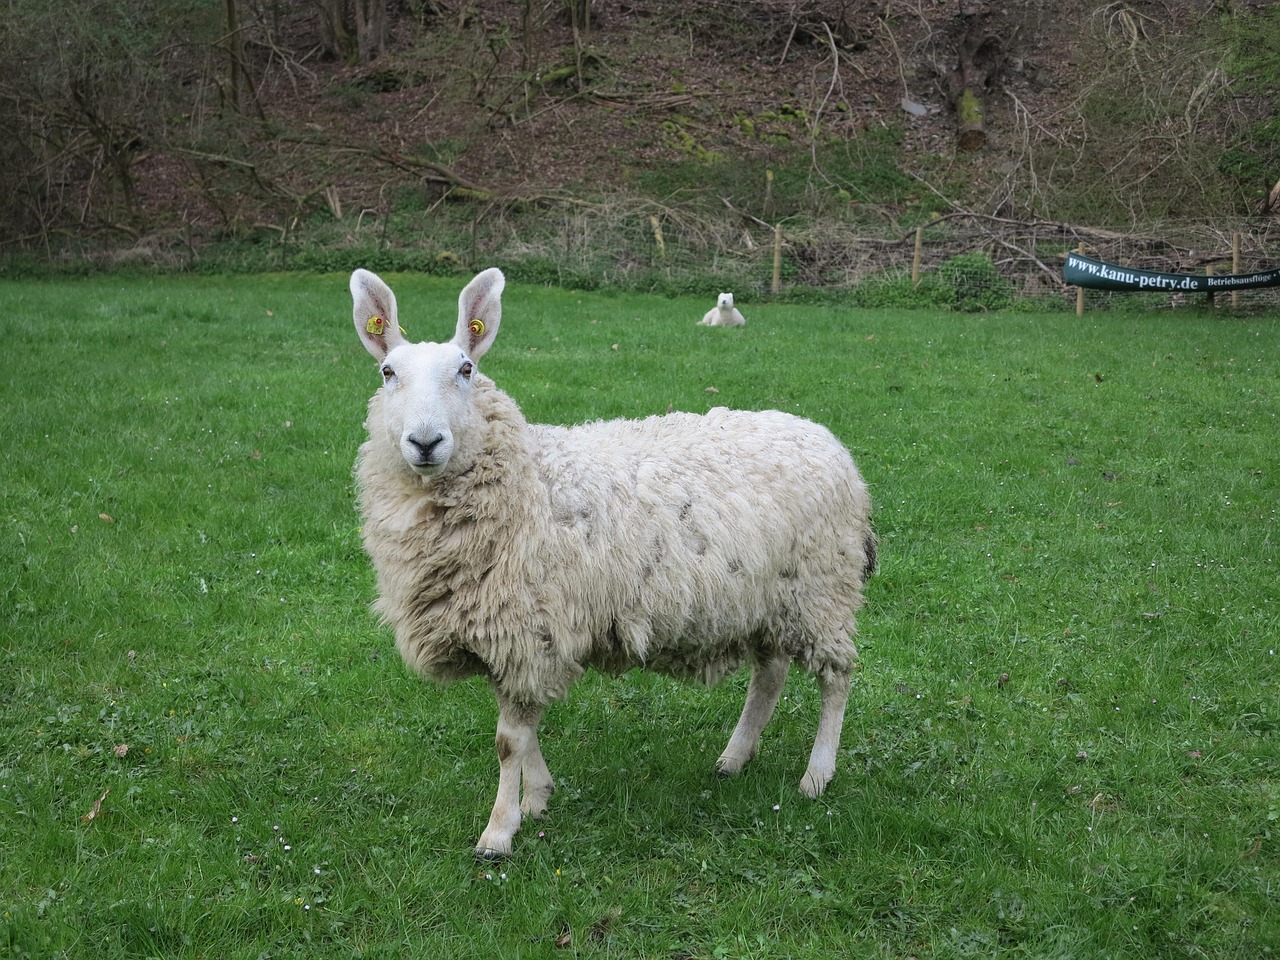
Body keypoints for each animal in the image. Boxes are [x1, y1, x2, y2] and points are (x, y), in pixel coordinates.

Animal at [348, 267, 875, 859]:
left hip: (823, 587)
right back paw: (735, 757)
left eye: (466, 369)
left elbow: (508, 741)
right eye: (387, 372)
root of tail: (830, 443)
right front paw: (539, 797)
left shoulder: (527, 631)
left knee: (837, 678)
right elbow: (524, 735)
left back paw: (817, 774)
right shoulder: (511, 635)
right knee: (770, 676)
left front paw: (499, 830)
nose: (425, 441)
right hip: (768, 597)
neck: (530, 479)